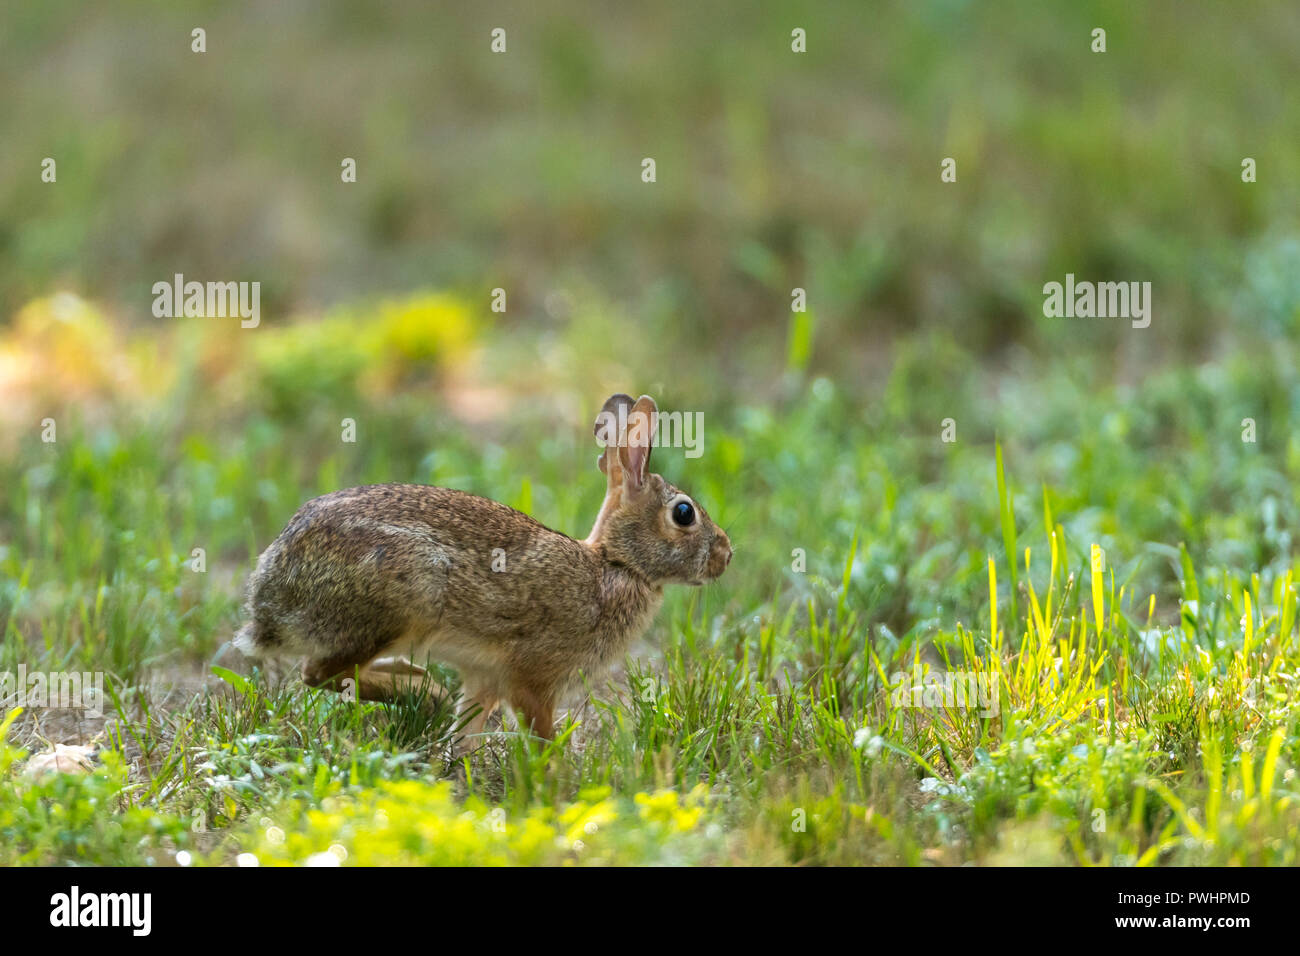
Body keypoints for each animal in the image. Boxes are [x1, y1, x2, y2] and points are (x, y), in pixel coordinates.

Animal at [231, 393, 732, 750]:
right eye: (684, 513)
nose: (726, 556)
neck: (615, 564)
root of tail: (268, 602)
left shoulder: (485, 678)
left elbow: (466, 732)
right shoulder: (532, 677)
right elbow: (540, 733)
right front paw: (556, 779)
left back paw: (421, 686)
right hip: (405, 596)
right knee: (317, 672)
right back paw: (422, 690)